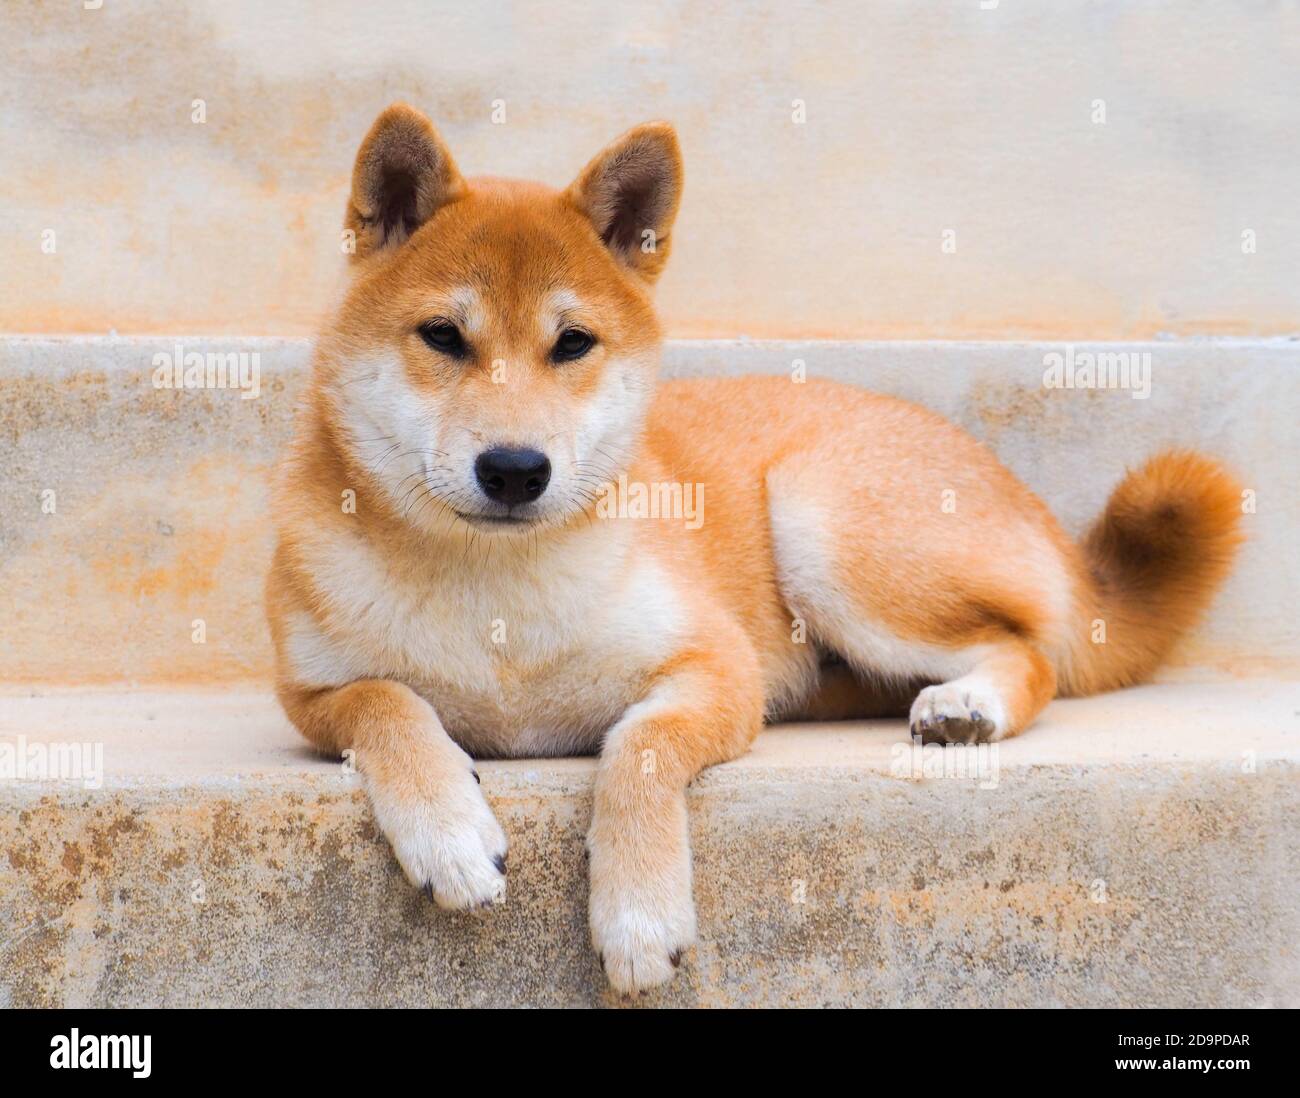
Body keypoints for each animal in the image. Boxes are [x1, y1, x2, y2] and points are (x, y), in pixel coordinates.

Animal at [266, 103, 1244, 995]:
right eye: (443, 336)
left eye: (572, 344)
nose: (514, 469)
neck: (498, 601)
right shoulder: (311, 694)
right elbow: (388, 704)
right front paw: (449, 831)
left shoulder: (717, 664)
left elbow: (637, 748)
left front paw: (638, 911)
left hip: (821, 524)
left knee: (1031, 649)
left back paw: (968, 702)